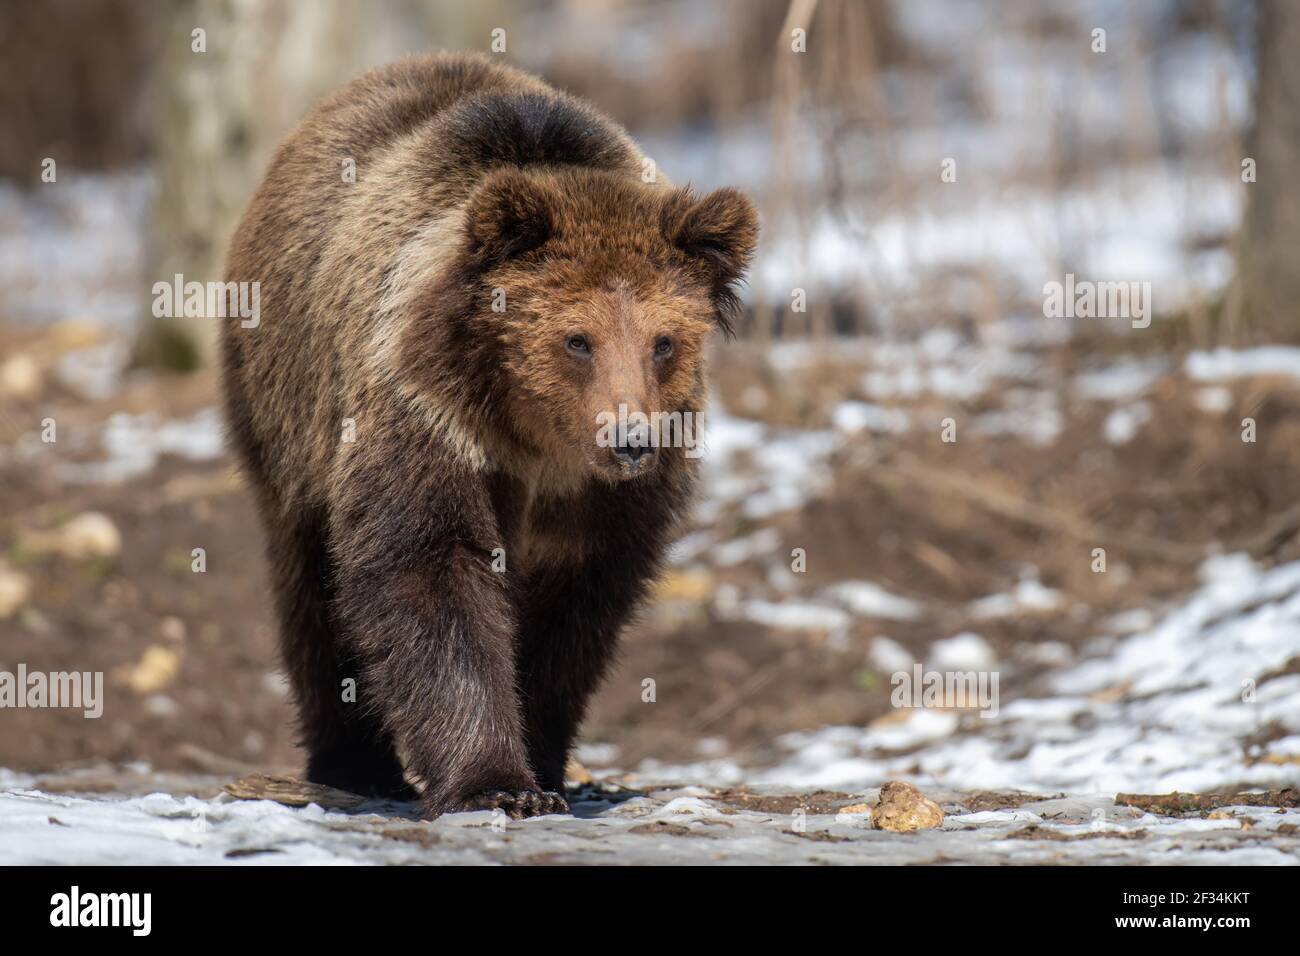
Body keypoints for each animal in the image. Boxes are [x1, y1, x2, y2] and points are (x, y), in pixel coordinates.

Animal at [220, 52, 758, 819]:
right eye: (577, 339)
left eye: (663, 341)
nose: (629, 439)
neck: (536, 440)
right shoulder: (431, 415)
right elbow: (430, 564)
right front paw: (497, 782)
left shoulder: (608, 501)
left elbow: (575, 609)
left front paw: (545, 766)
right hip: (287, 407)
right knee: (311, 583)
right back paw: (353, 764)